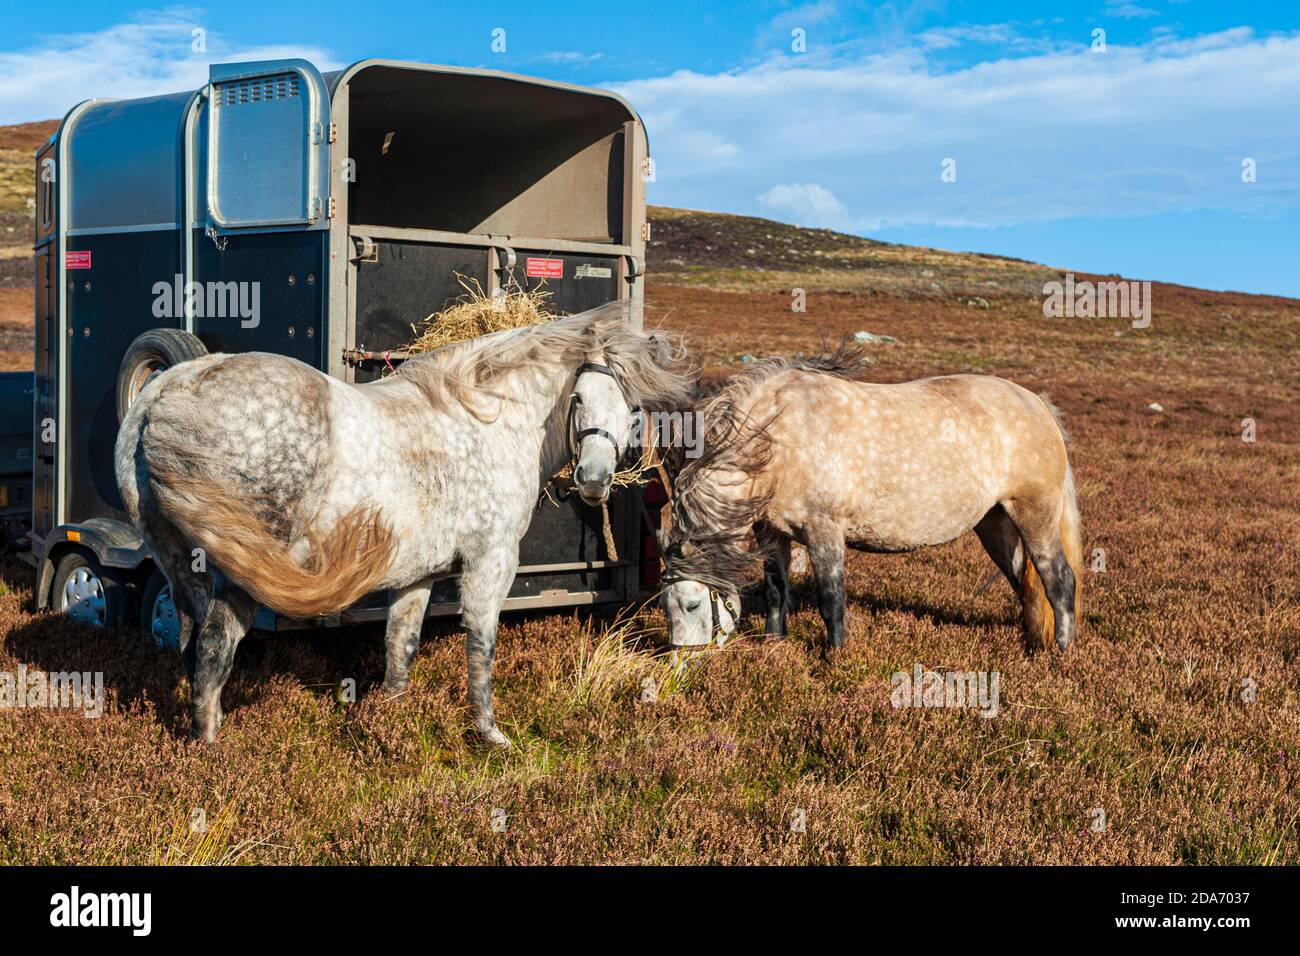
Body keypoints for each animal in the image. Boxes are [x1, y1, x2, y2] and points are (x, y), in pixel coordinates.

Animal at [115, 303, 693, 745]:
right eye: (578, 398)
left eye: (631, 409)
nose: (594, 480)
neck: (484, 420)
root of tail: (164, 393)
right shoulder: (490, 562)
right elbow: (481, 645)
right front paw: (489, 733)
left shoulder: (418, 576)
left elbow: (401, 645)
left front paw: (389, 718)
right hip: (241, 567)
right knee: (216, 645)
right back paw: (212, 749)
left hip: (182, 569)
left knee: (191, 644)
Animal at [658, 347, 1081, 654]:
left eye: (691, 605)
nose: (682, 659)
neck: (778, 440)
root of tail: (1039, 405)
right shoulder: (772, 533)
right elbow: (777, 591)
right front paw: (774, 645)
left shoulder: (824, 531)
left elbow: (831, 598)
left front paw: (836, 655)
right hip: (995, 523)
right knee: (1024, 583)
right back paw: (1031, 643)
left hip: (1034, 514)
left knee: (1058, 579)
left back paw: (1061, 651)